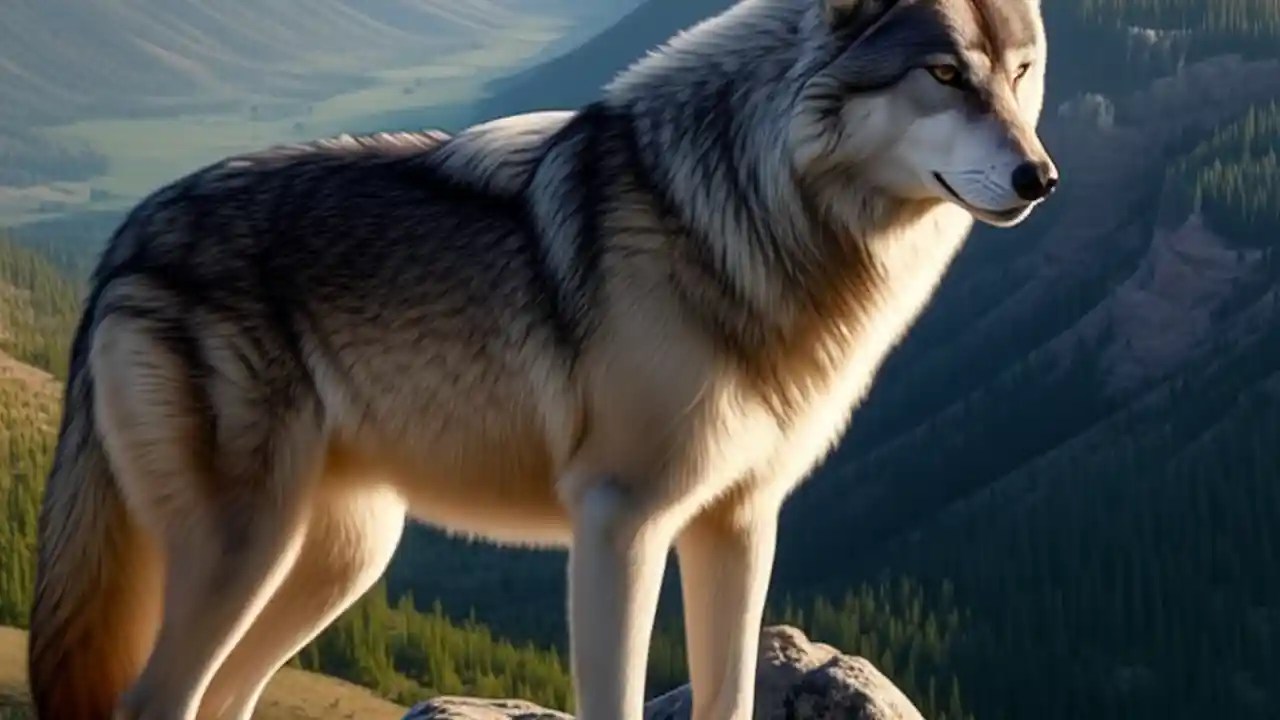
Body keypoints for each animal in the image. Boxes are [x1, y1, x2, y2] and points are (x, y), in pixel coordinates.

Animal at [27, 0, 1056, 718]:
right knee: (154, 700)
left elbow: (727, 696)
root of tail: (128, 237)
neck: (746, 212)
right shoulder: (620, 524)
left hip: (340, 559)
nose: (1040, 178)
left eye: (1020, 73)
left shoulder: (739, 521)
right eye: (943, 73)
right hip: (248, 553)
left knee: (226, 696)